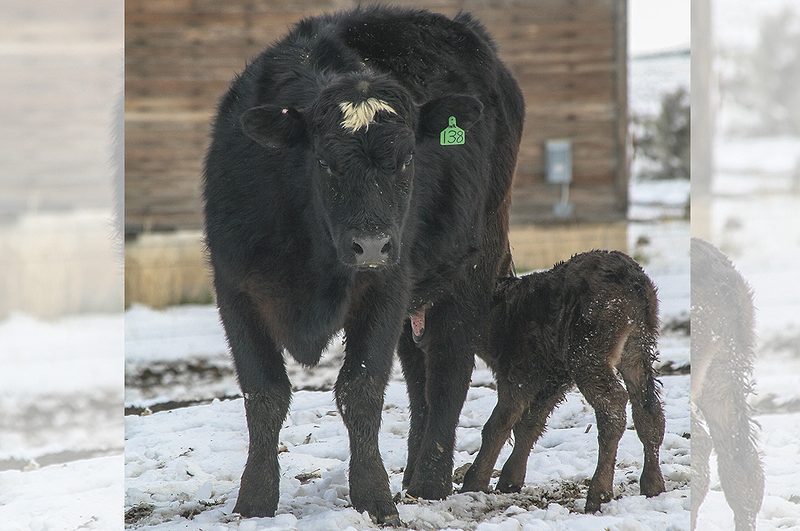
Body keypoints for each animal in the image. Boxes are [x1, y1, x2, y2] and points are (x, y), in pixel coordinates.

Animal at [202, 6, 524, 524]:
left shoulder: (387, 284)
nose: (371, 245)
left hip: (474, 259)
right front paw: (254, 501)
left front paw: (374, 498)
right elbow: (263, 391)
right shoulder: (235, 286)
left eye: (408, 158)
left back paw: (431, 481)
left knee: (449, 365)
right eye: (324, 161)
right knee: (419, 370)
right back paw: (413, 472)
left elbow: (361, 387)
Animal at [459, 251, 666, 512]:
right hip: (637, 345)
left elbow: (500, 423)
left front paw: (474, 482)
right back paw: (653, 484)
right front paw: (510, 480)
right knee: (648, 407)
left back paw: (598, 494)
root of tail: (637, 286)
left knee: (614, 404)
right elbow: (530, 424)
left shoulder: (519, 370)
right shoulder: (554, 376)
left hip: (588, 348)